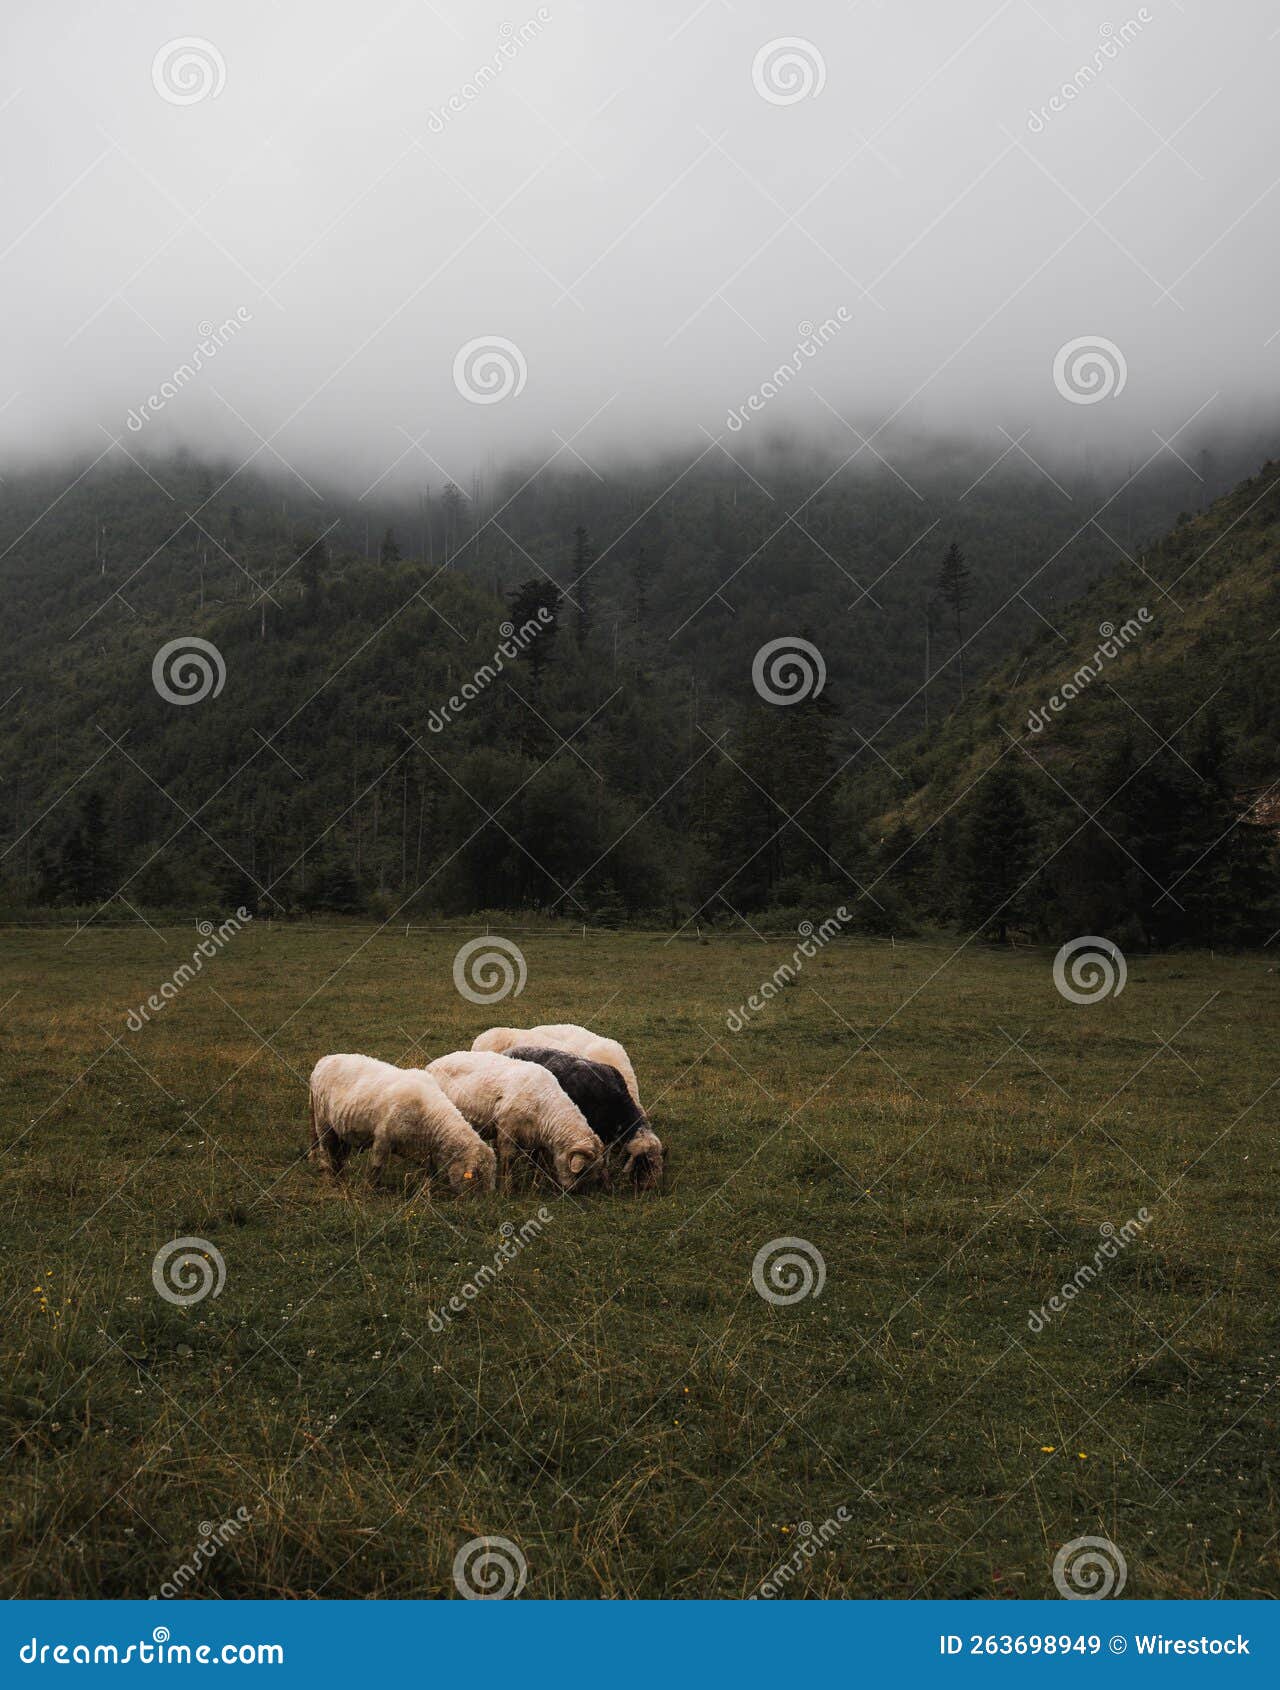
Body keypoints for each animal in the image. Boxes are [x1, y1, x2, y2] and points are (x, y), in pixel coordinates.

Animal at [309, 1054, 496, 1194]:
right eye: (477, 1178)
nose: (481, 1205)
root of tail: (323, 1060)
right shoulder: (383, 1139)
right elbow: (376, 1167)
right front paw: (371, 1189)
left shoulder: (426, 1149)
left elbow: (431, 1169)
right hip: (322, 1123)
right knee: (327, 1152)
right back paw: (331, 1181)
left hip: (340, 1130)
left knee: (338, 1156)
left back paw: (340, 1178)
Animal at [425, 1049, 605, 1191]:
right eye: (584, 1170)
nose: (575, 1192)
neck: (544, 1104)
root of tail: (432, 1065)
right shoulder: (507, 1130)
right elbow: (508, 1159)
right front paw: (506, 1187)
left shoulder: (535, 1137)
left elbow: (536, 1160)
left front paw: (535, 1182)